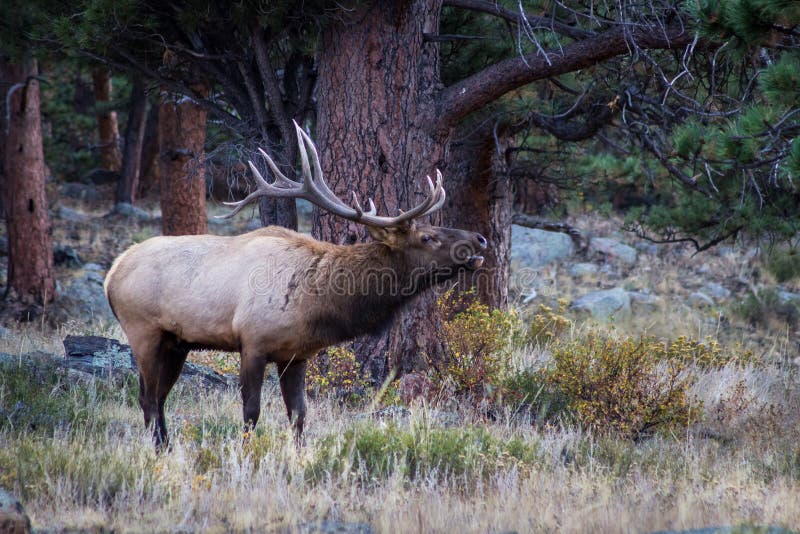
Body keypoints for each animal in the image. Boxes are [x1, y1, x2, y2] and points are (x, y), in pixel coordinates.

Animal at [104, 121, 487, 449]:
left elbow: (299, 415)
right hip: (143, 331)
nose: (480, 239)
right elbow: (251, 413)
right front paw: (248, 454)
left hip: (177, 343)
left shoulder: (297, 354)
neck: (315, 304)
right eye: (427, 237)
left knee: (158, 397)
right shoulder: (252, 341)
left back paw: (166, 448)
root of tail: (112, 273)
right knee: (148, 398)